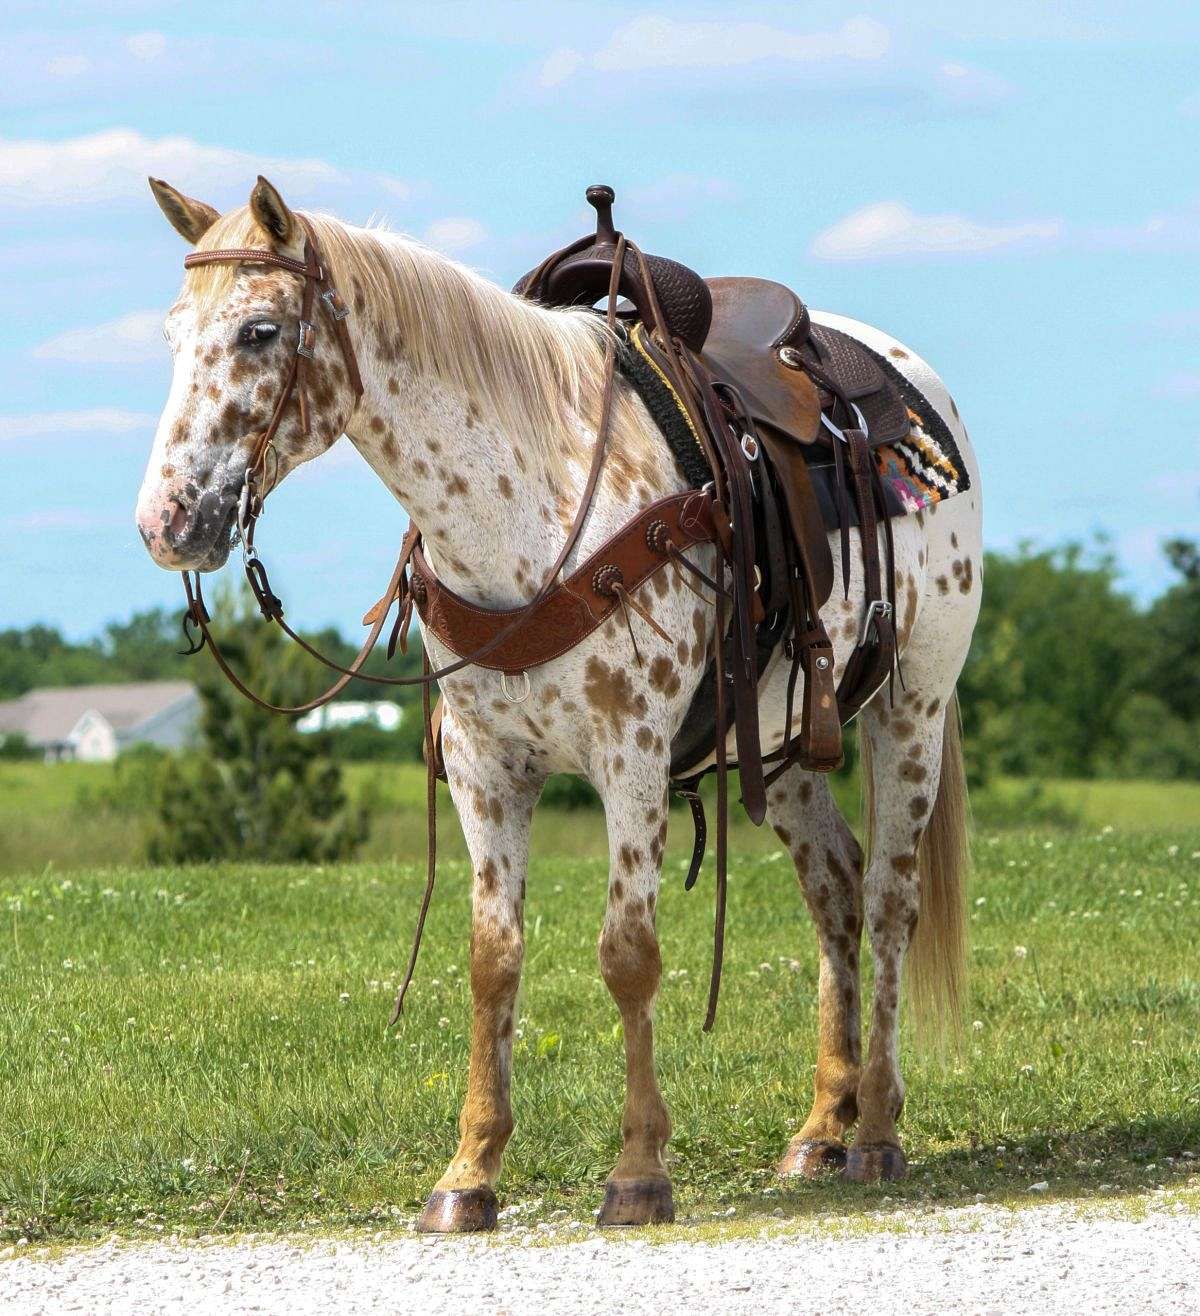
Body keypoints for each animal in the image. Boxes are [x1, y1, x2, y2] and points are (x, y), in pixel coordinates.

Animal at [135, 175, 982, 1230]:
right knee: (833, 888)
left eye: (258, 331)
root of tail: (913, 384)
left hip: (914, 707)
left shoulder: (633, 757)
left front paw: (638, 1172)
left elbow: (628, 954)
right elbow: (492, 958)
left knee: (890, 901)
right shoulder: (485, 769)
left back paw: (876, 1132)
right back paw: (822, 1126)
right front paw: (468, 1174)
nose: (167, 522)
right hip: (779, 745)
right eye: (173, 332)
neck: (523, 514)